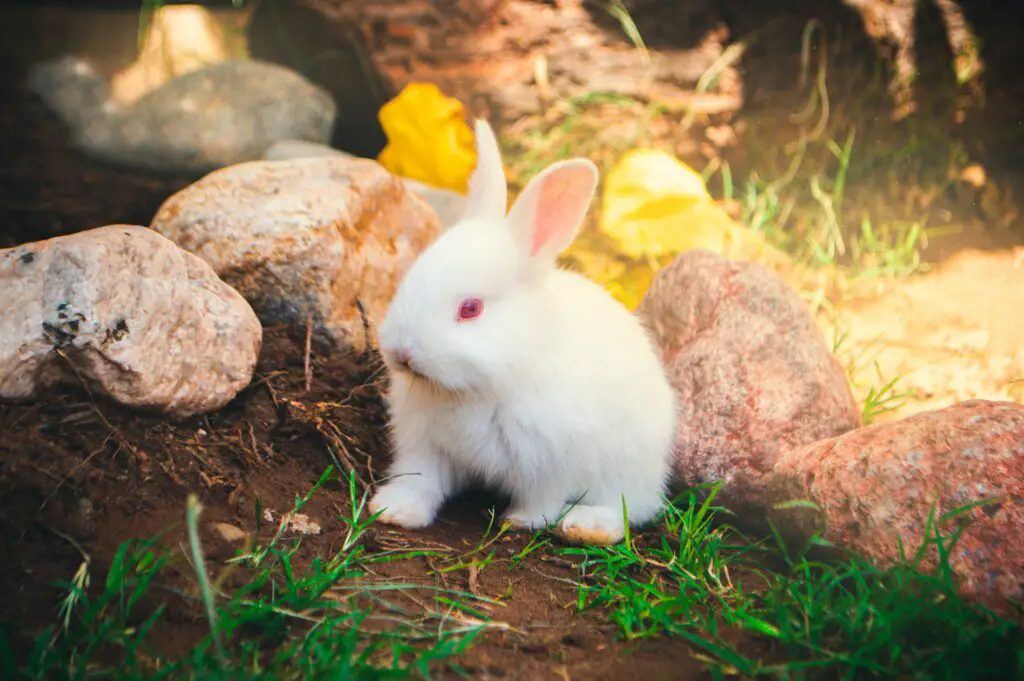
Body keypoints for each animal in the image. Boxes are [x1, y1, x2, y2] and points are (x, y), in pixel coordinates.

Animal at [367, 118, 678, 545]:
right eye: (410, 277)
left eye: (470, 309)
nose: (400, 352)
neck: (477, 388)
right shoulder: (424, 446)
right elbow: (420, 481)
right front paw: (394, 510)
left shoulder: (549, 462)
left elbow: (543, 499)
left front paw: (521, 521)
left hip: (626, 467)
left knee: (631, 507)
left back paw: (587, 527)